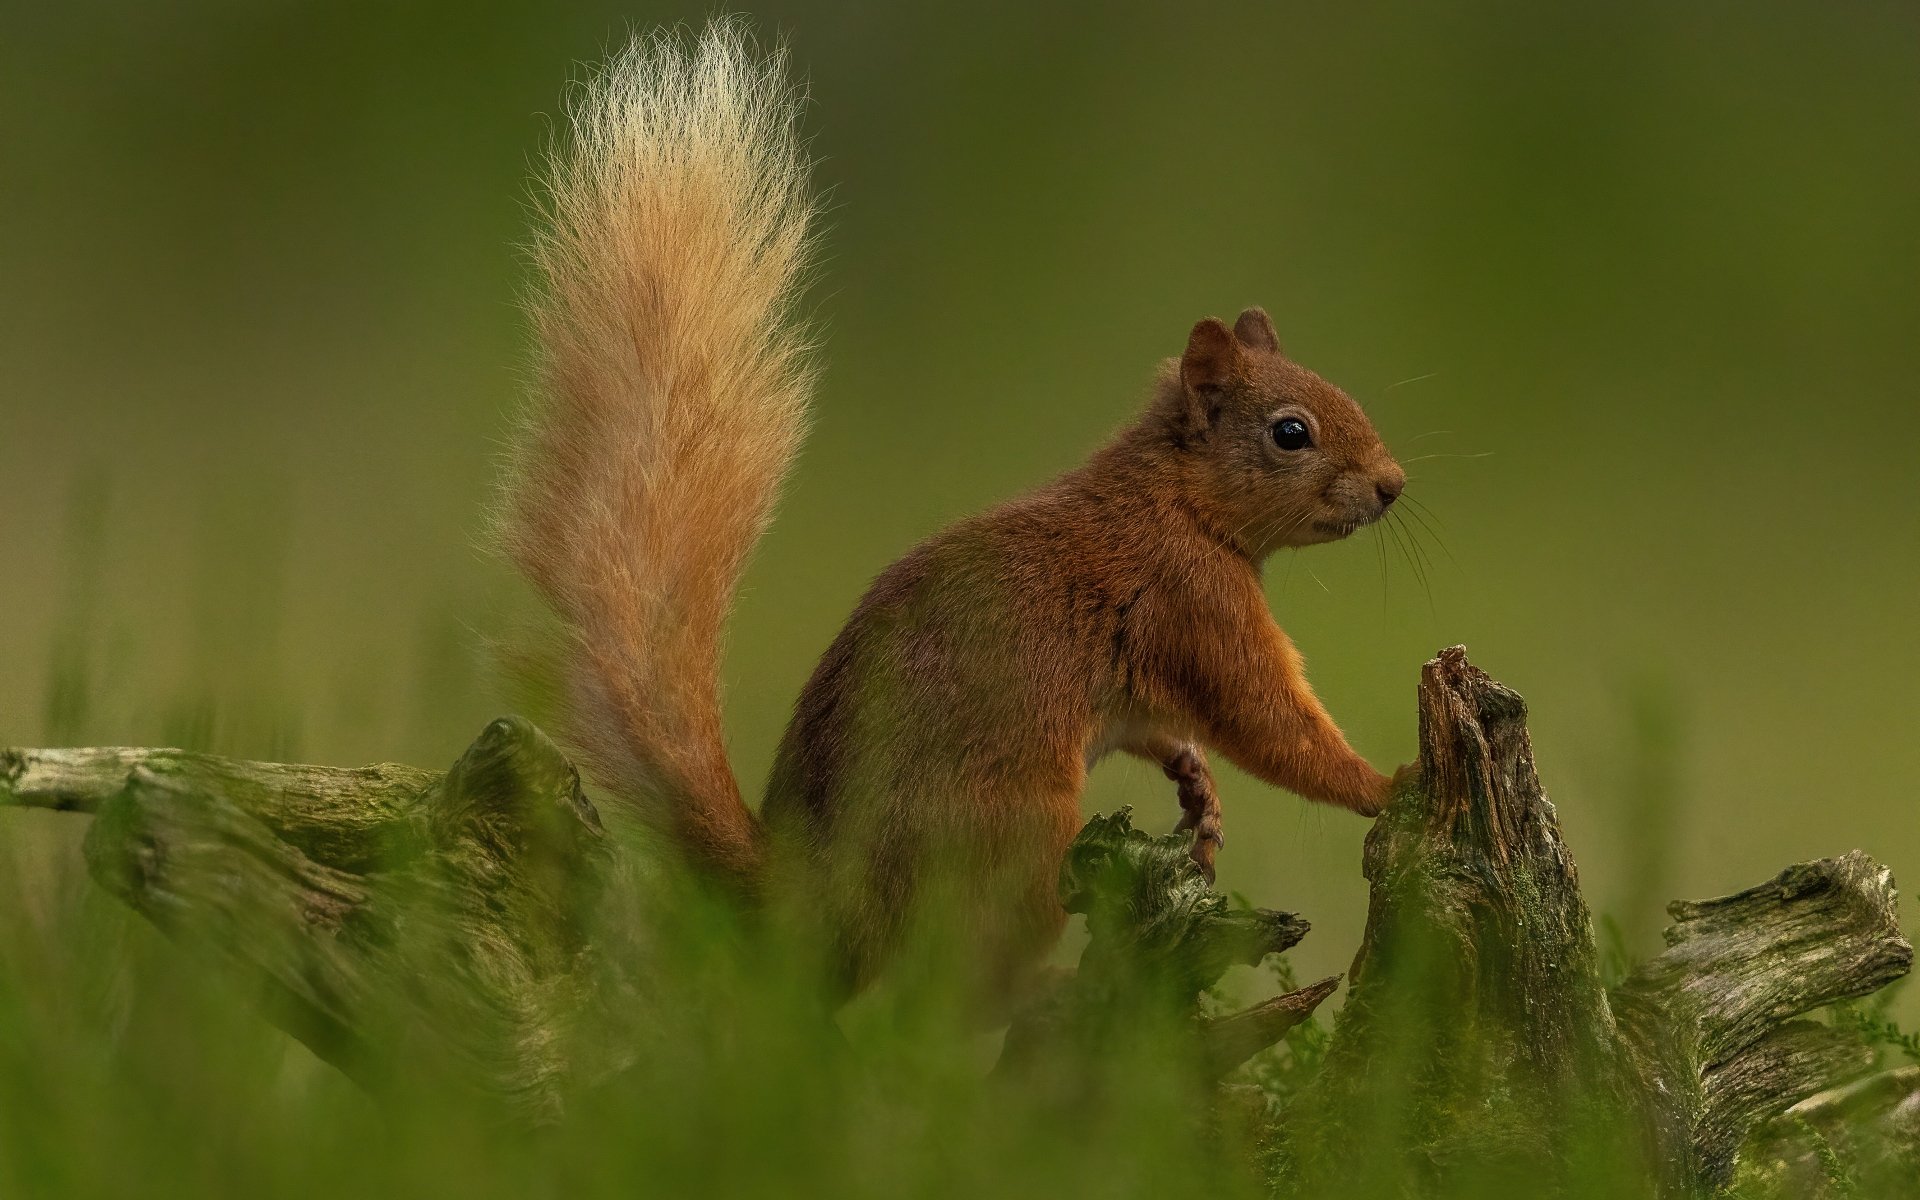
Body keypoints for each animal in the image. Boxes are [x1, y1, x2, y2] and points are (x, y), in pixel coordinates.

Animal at [498, 25, 1408, 1009]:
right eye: (1291, 433)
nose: (1393, 485)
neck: (1176, 499)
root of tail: (810, 905)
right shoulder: (1192, 600)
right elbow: (1270, 723)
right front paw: (1385, 782)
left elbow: (1168, 728)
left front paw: (1193, 780)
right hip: (1019, 832)